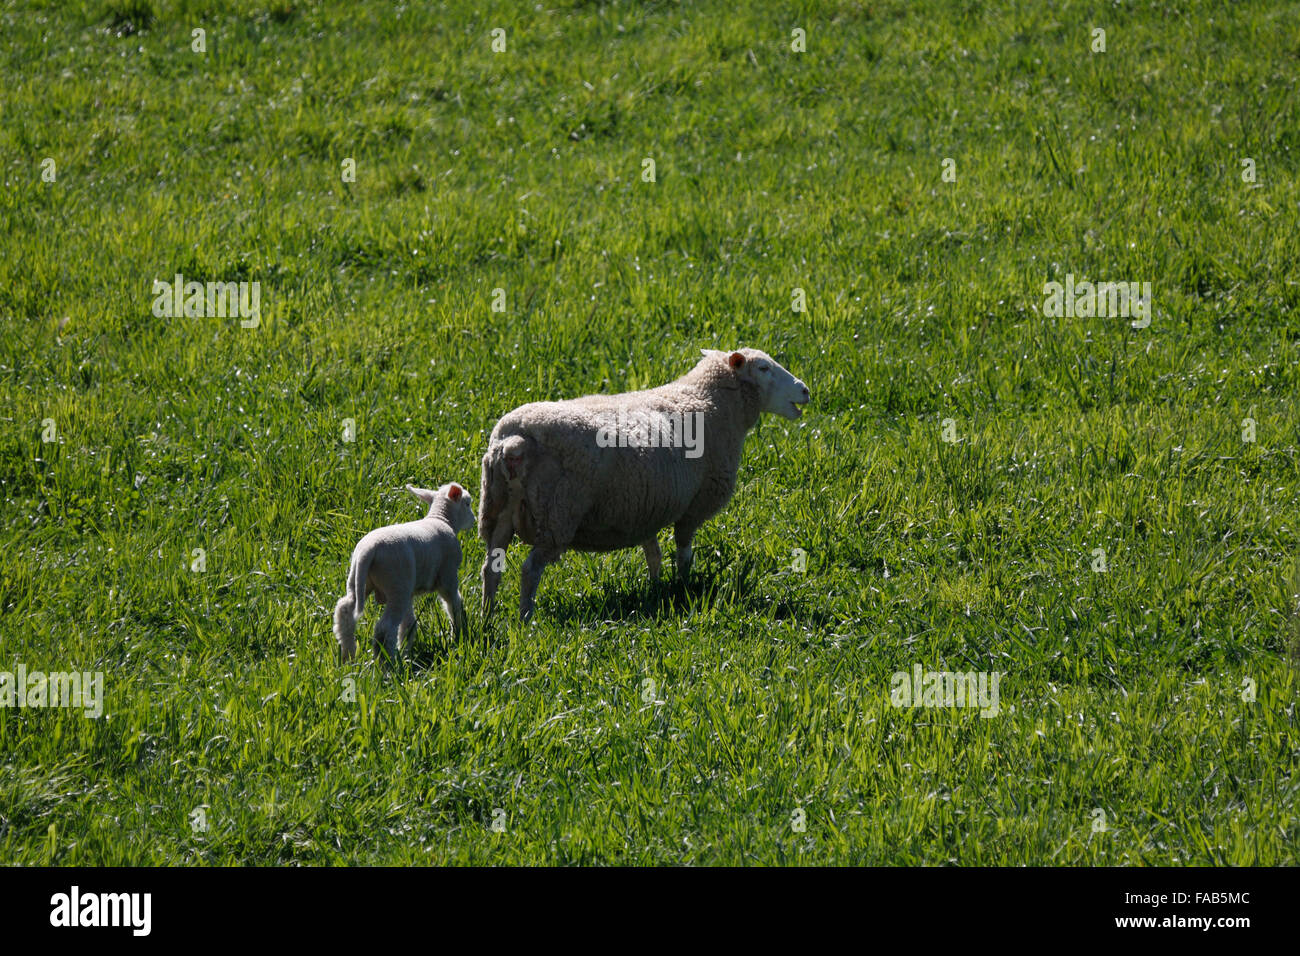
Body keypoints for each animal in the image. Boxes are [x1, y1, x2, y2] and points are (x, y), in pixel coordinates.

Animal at [333, 482, 475, 660]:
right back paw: (386, 663)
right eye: (467, 503)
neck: (441, 518)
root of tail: (369, 550)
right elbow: (454, 605)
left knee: (345, 610)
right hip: (397, 585)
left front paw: (406, 651)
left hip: (360, 579)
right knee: (385, 628)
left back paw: (348, 656)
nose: (474, 520)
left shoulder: (410, 591)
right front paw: (458, 635)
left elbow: (409, 624)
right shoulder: (448, 576)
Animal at [478, 347, 810, 620]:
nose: (805, 390)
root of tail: (514, 440)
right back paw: (525, 619)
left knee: (491, 568)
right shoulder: (694, 505)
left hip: (497, 509)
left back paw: (487, 617)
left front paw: (656, 589)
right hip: (557, 514)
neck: (709, 400)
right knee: (530, 570)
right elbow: (683, 552)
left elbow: (654, 553)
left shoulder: (645, 507)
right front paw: (682, 587)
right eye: (764, 368)